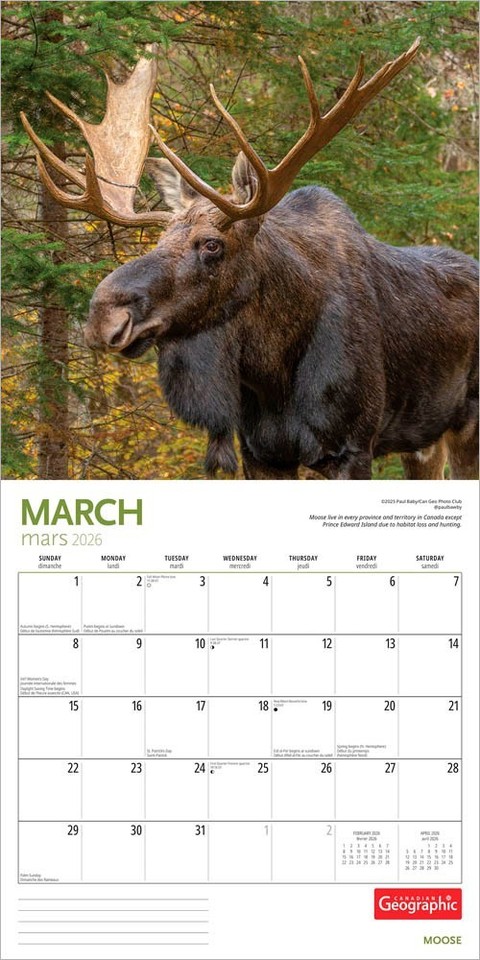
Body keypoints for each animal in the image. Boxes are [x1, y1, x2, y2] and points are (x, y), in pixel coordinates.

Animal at [21, 40, 479, 480]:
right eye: (158, 238)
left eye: (211, 244)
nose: (103, 316)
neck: (272, 371)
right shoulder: (262, 453)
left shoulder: (350, 447)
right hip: (421, 438)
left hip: (465, 425)